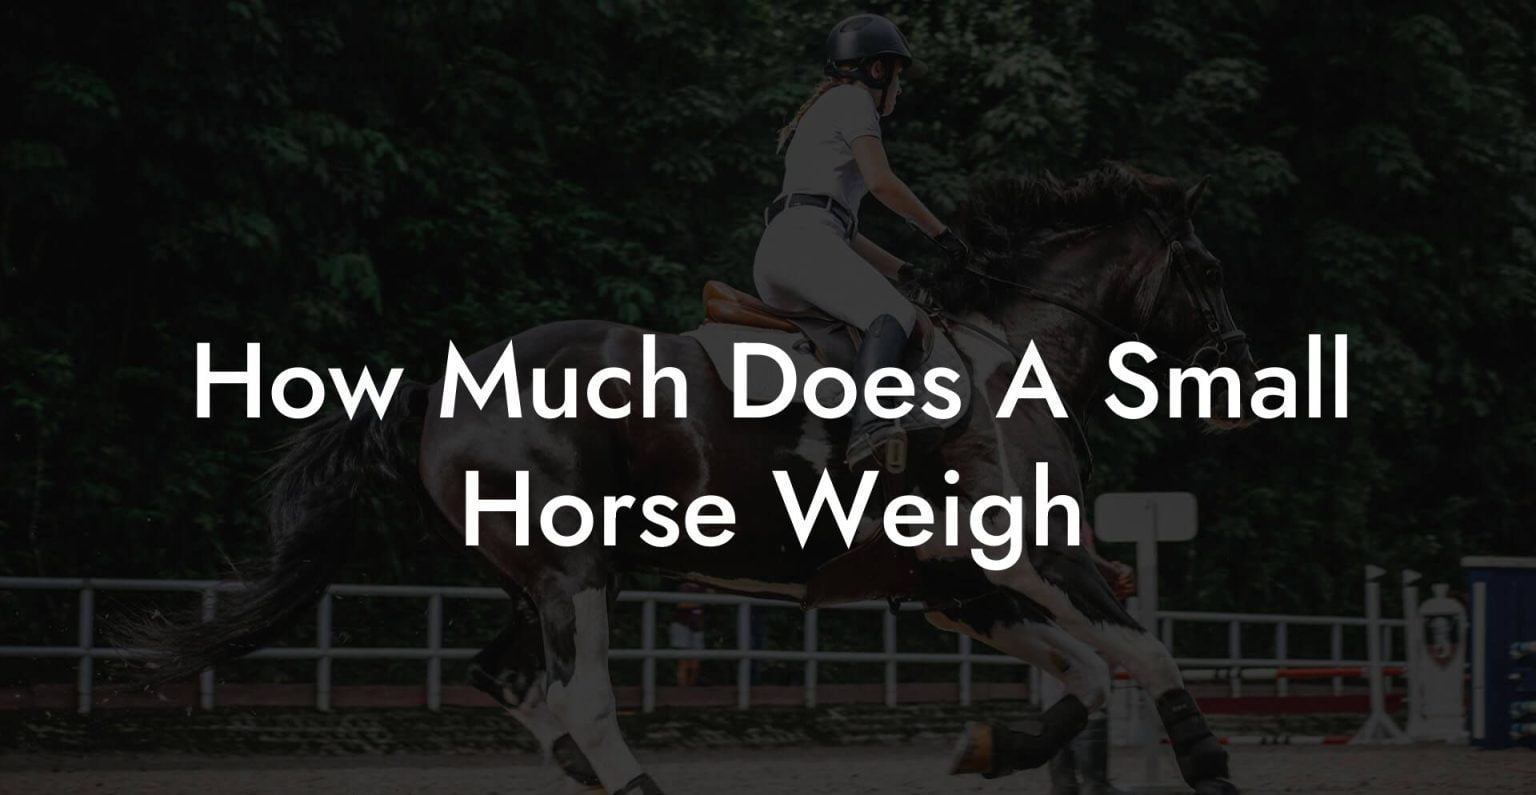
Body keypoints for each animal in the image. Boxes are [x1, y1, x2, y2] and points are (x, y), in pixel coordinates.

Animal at [122, 164, 1257, 795]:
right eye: (1205, 269)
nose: (1242, 370)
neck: (1010, 347)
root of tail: (445, 383)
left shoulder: (963, 588)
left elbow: (1086, 677)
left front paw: (988, 744)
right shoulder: (1032, 558)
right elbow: (1146, 658)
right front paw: (1208, 768)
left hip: (544, 578)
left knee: (504, 678)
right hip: (575, 570)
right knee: (578, 698)